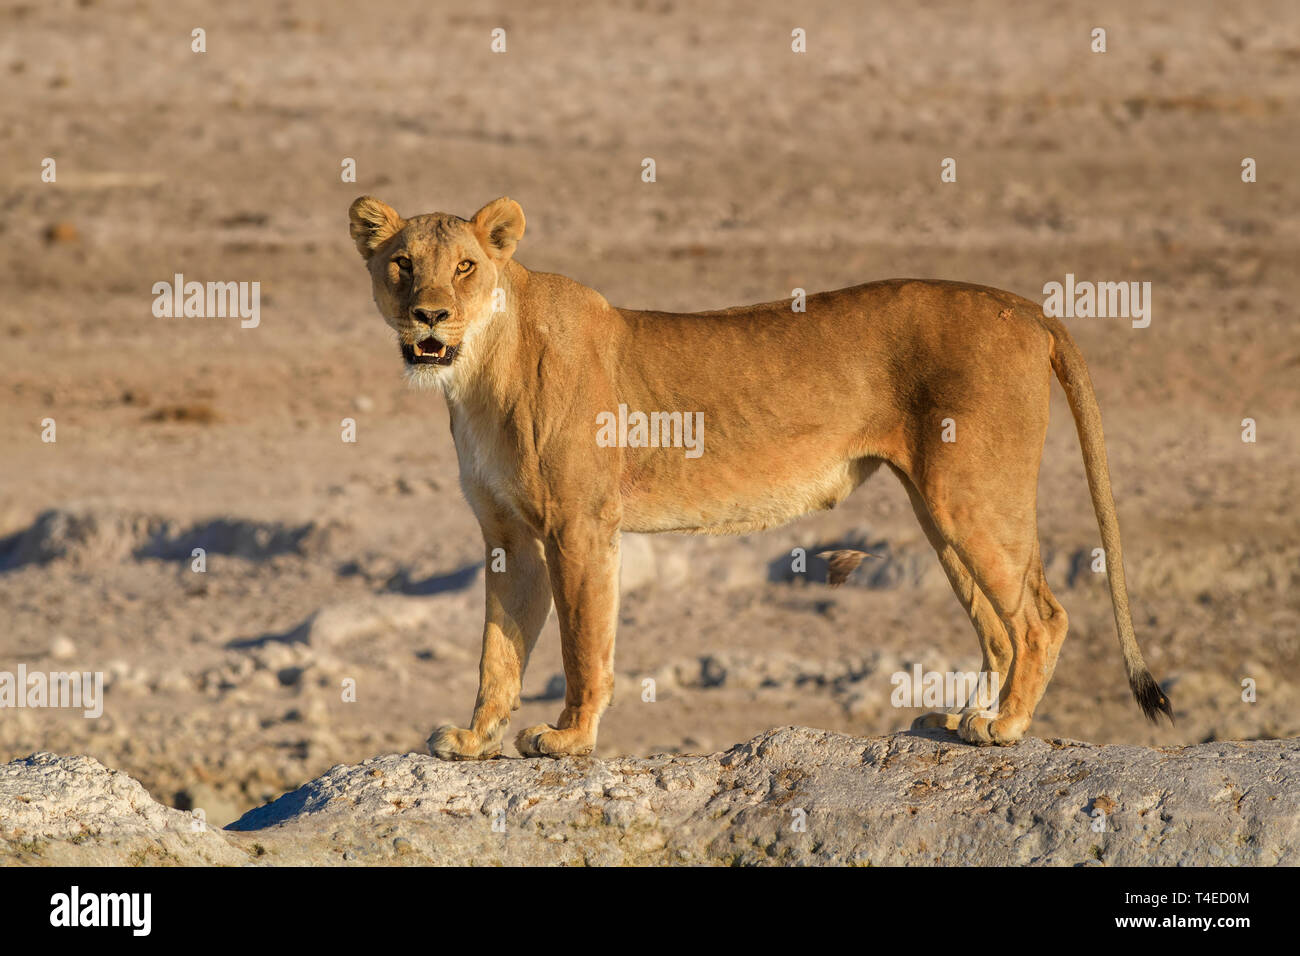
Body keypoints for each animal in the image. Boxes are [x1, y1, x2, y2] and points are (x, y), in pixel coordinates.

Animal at [348, 194, 1173, 758]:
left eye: (465, 267)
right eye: (402, 265)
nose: (429, 316)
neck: (477, 375)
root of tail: (1030, 308)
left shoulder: (580, 524)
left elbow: (584, 645)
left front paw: (567, 738)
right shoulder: (509, 537)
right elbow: (499, 649)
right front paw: (473, 739)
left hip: (971, 495)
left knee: (1040, 617)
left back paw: (1005, 725)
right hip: (939, 507)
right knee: (999, 629)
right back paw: (963, 717)